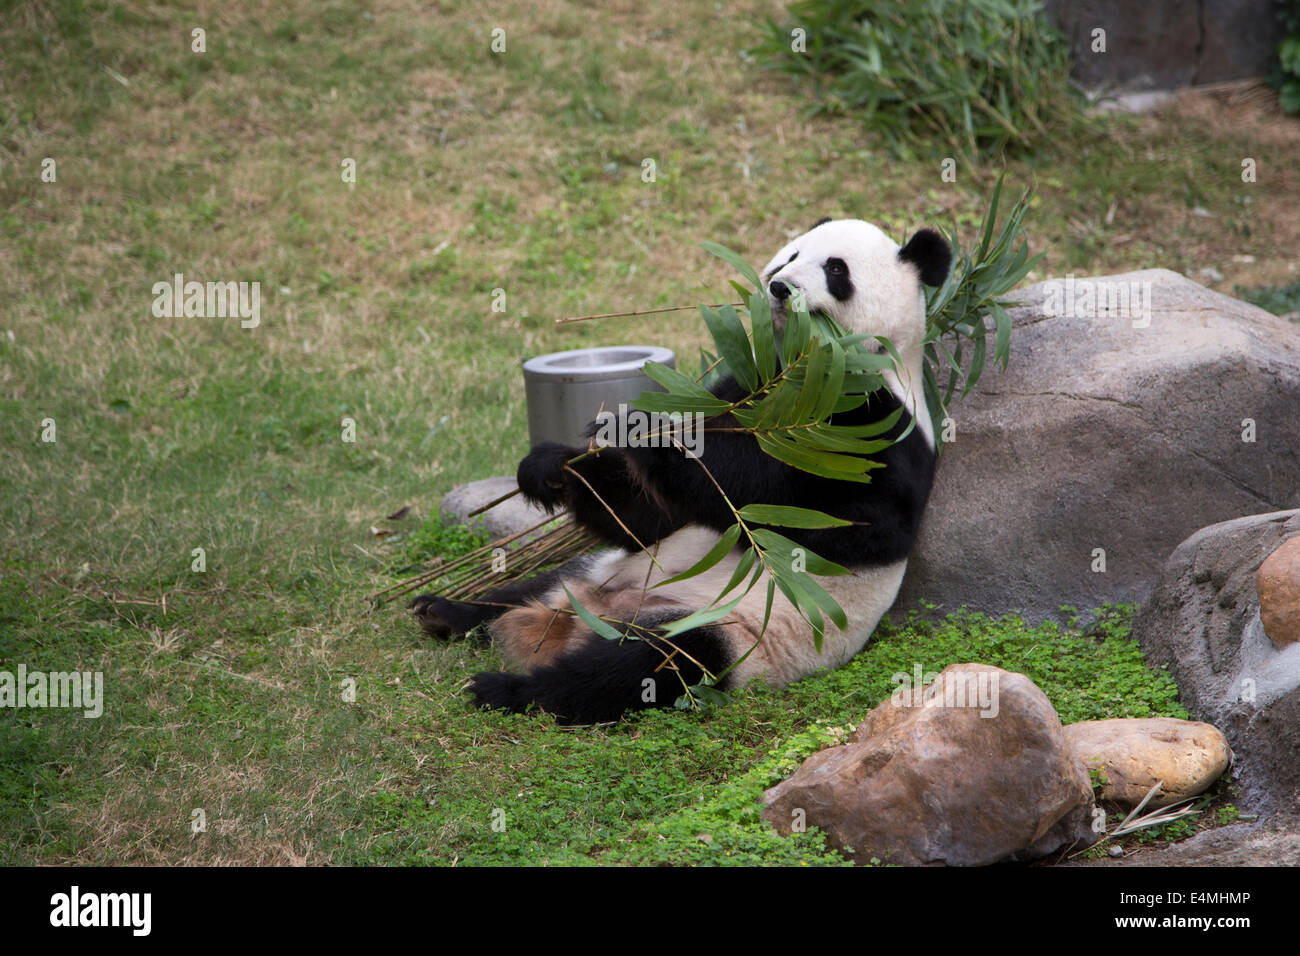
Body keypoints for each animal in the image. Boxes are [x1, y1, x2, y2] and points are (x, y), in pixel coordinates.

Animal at [412, 218, 951, 724]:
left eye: (836, 271)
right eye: (790, 256)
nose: (780, 287)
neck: (808, 367)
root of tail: (580, 621)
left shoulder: (870, 429)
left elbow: (789, 503)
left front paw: (638, 430)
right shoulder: (744, 386)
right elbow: (650, 516)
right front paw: (554, 466)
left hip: (732, 630)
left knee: (642, 668)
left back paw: (508, 690)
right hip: (599, 570)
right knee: (526, 588)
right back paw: (443, 611)